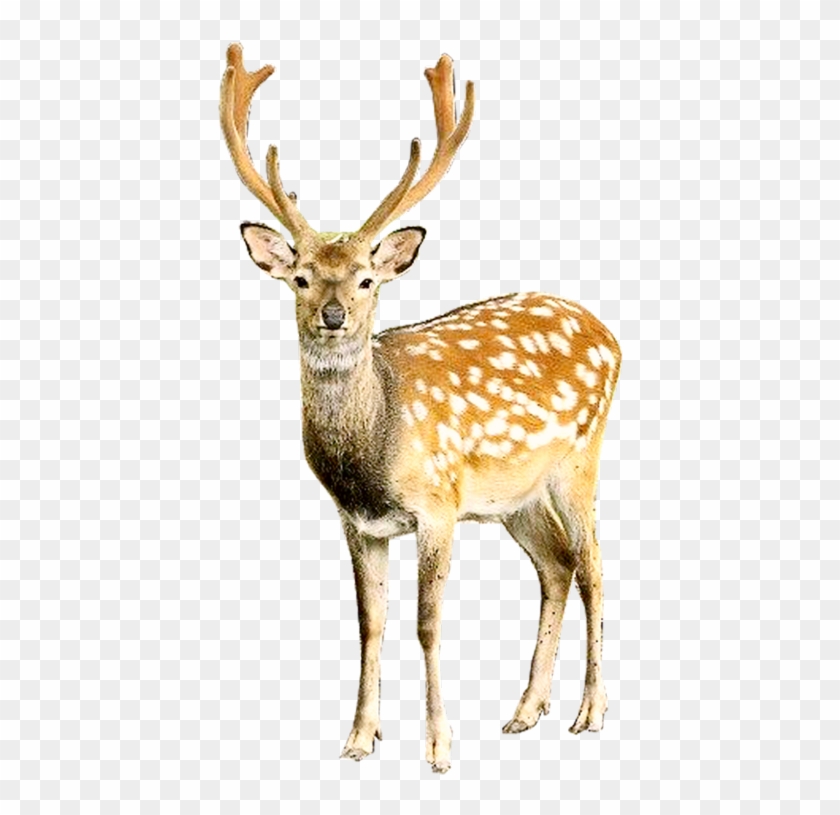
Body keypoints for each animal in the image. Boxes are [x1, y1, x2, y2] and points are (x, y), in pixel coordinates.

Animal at [220, 43, 621, 774]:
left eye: (366, 279)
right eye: (301, 277)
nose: (331, 316)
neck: (373, 450)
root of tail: (612, 336)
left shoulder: (438, 503)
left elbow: (427, 622)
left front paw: (438, 746)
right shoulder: (360, 522)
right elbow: (370, 622)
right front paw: (359, 737)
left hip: (580, 457)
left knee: (595, 568)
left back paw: (589, 712)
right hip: (514, 497)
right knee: (557, 565)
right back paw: (526, 710)